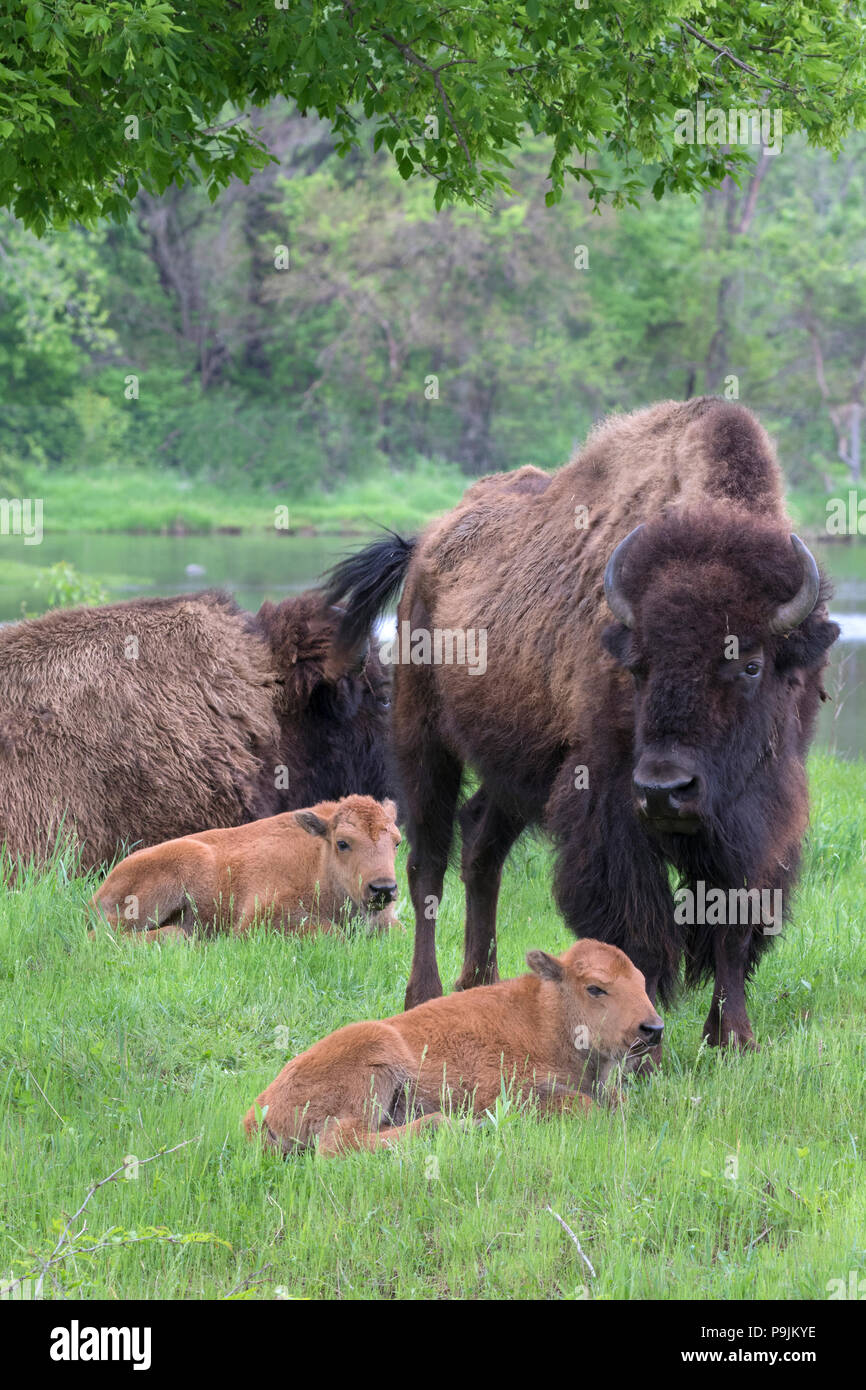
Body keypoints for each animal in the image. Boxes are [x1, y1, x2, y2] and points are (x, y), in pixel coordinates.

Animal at [90, 795, 401, 939]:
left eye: (397, 842)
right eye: (343, 843)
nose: (383, 889)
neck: (318, 864)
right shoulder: (261, 917)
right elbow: (330, 933)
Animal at [244, 939, 663, 1155]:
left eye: (641, 980)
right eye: (595, 987)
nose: (653, 1028)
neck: (549, 1017)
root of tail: (257, 1110)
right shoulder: (505, 1092)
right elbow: (583, 1106)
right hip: (376, 1057)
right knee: (340, 1142)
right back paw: (452, 1126)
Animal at [324, 398, 839, 1058]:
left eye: (750, 663)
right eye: (637, 664)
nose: (666, 790)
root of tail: (426, 548)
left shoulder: (756, 822)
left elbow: (731, 927)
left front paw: (732, 1039)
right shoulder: (609, 804)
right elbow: (639, 932)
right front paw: (647, 1044)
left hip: (515, 770)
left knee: (482, 847)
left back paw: (480, 981)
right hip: (424, 739)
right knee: (427, 863)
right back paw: (425, 994)